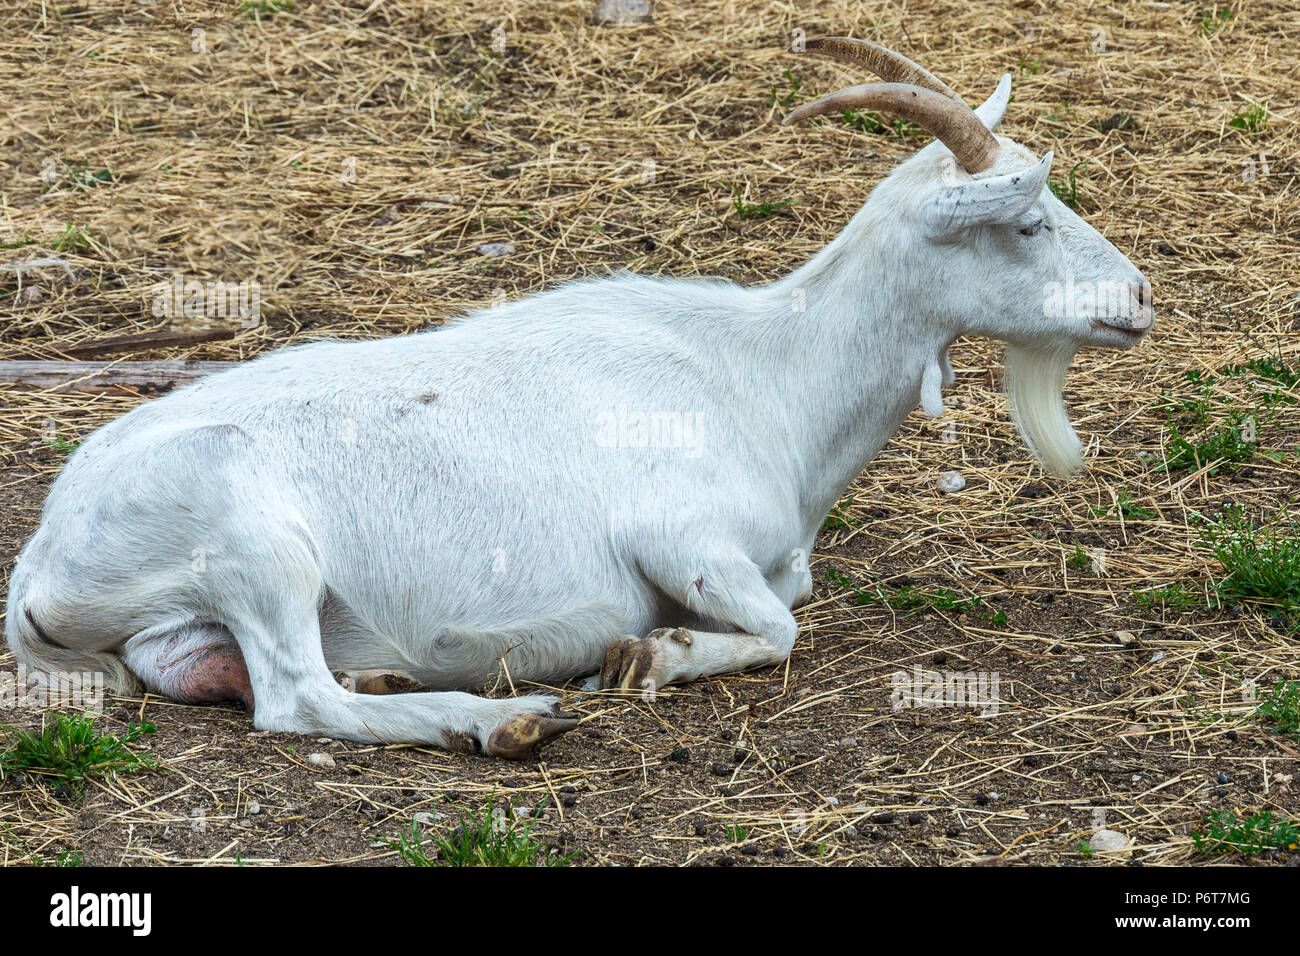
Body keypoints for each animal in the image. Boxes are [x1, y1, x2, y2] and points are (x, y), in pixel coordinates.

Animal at [5, 39, 1153, 758]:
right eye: (1028, 222)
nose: (1139, 297)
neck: (764, 374)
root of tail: (41, 565)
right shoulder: (678, 533)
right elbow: (780, 626)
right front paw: (650, 655)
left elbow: (792, 603)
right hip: (256, 538)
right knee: (292, 697)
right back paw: (499, 720)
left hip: (184, 619)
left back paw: (403, 684)